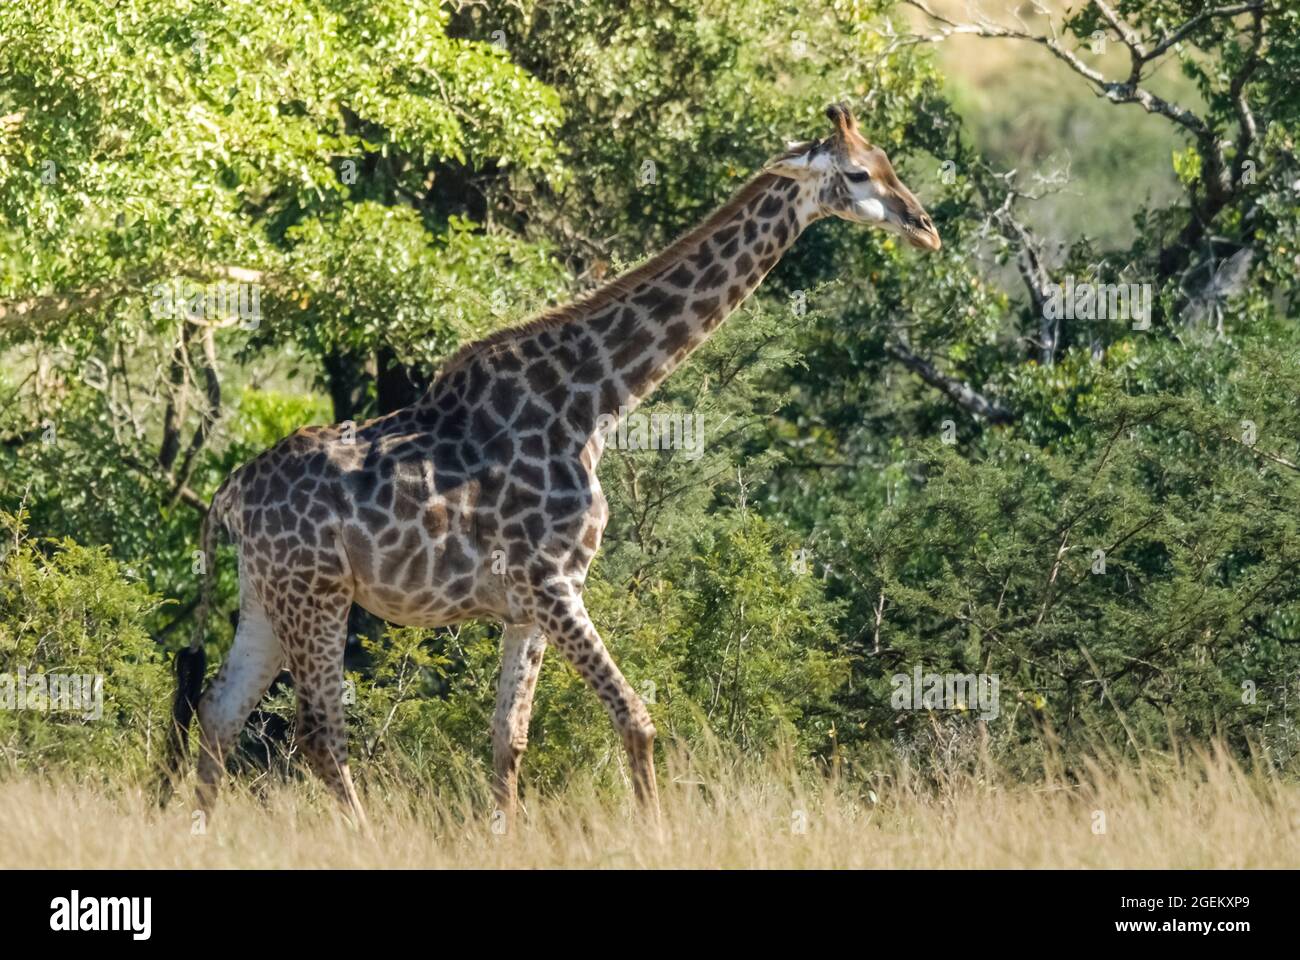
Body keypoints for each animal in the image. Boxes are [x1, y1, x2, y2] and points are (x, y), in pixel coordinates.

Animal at [162, 103, 941, 830]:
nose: (925, 226)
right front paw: (656, 835)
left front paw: (504, 835)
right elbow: (635, 716)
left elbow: (508, 737)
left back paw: (202, 831)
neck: (594, 404)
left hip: (268, 596)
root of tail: (230, 494)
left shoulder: (531, 602)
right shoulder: (552, 581)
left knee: (219, 711)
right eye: (860, 173)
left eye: (888, 160)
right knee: (317, 733)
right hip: (317, 595)